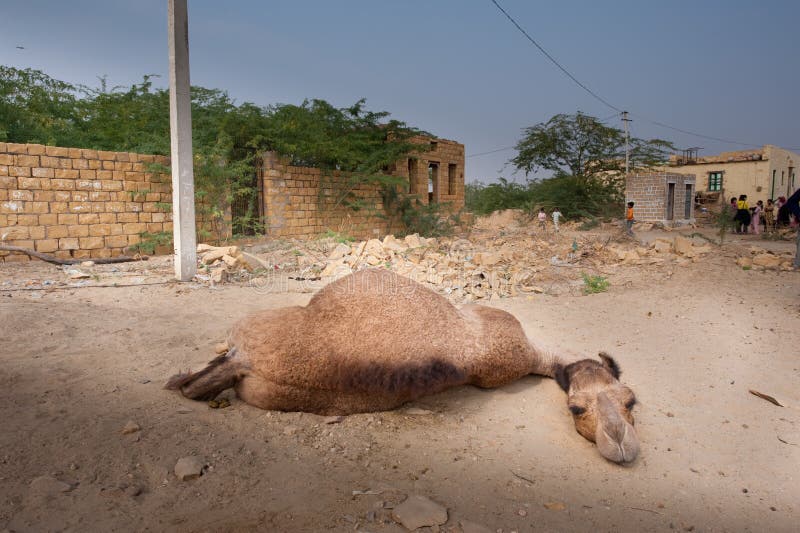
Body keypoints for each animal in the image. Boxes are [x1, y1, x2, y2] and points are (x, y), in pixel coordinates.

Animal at [167, 269, 639, 463]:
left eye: (631, 402)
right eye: (578, 409)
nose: (619, 444)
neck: (535, 355)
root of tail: (247, 360)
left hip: (250, 332)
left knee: (205, 374)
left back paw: (181, 378)